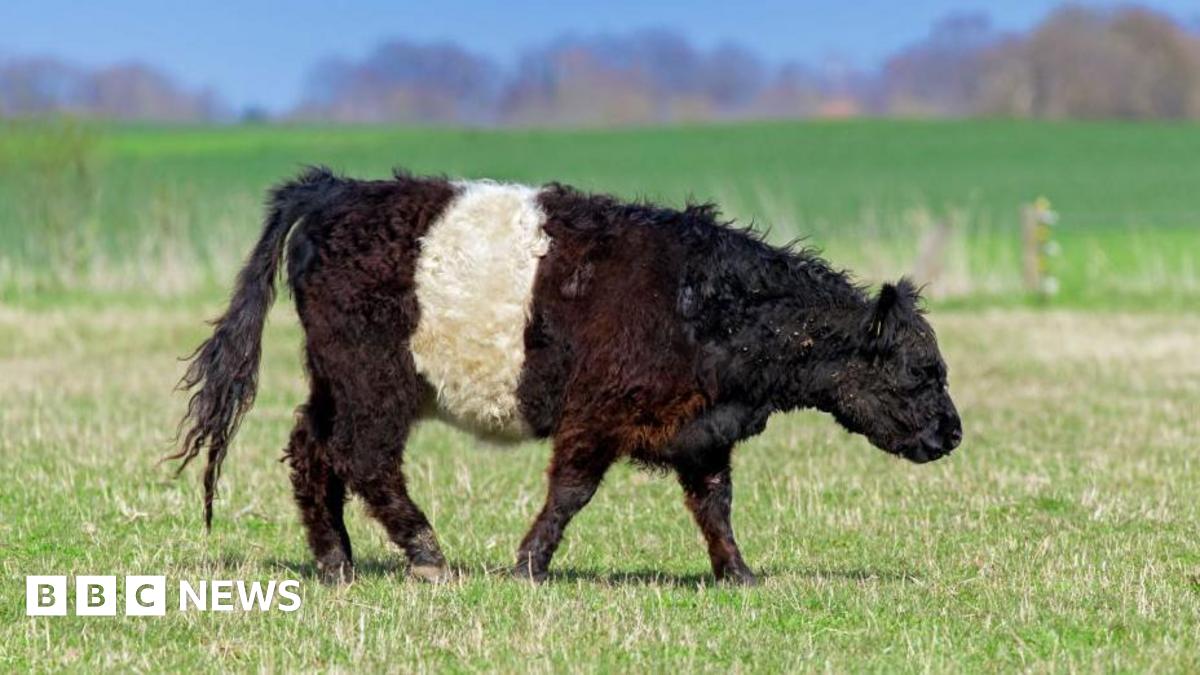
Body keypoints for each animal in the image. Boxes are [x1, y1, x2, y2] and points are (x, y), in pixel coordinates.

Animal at [171, 167, 962, 586]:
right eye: (922, 369)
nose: (952, 435)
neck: (705, 299)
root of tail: (334, 190)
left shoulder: (701, 428)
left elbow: (716, 504)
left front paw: (737, 573)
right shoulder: (598, 410)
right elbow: (572, 491)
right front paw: (529, 563)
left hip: (335, 379)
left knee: (311, 449)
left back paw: (337, 560)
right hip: (375, 379)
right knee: (362, 457)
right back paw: (427, 553)